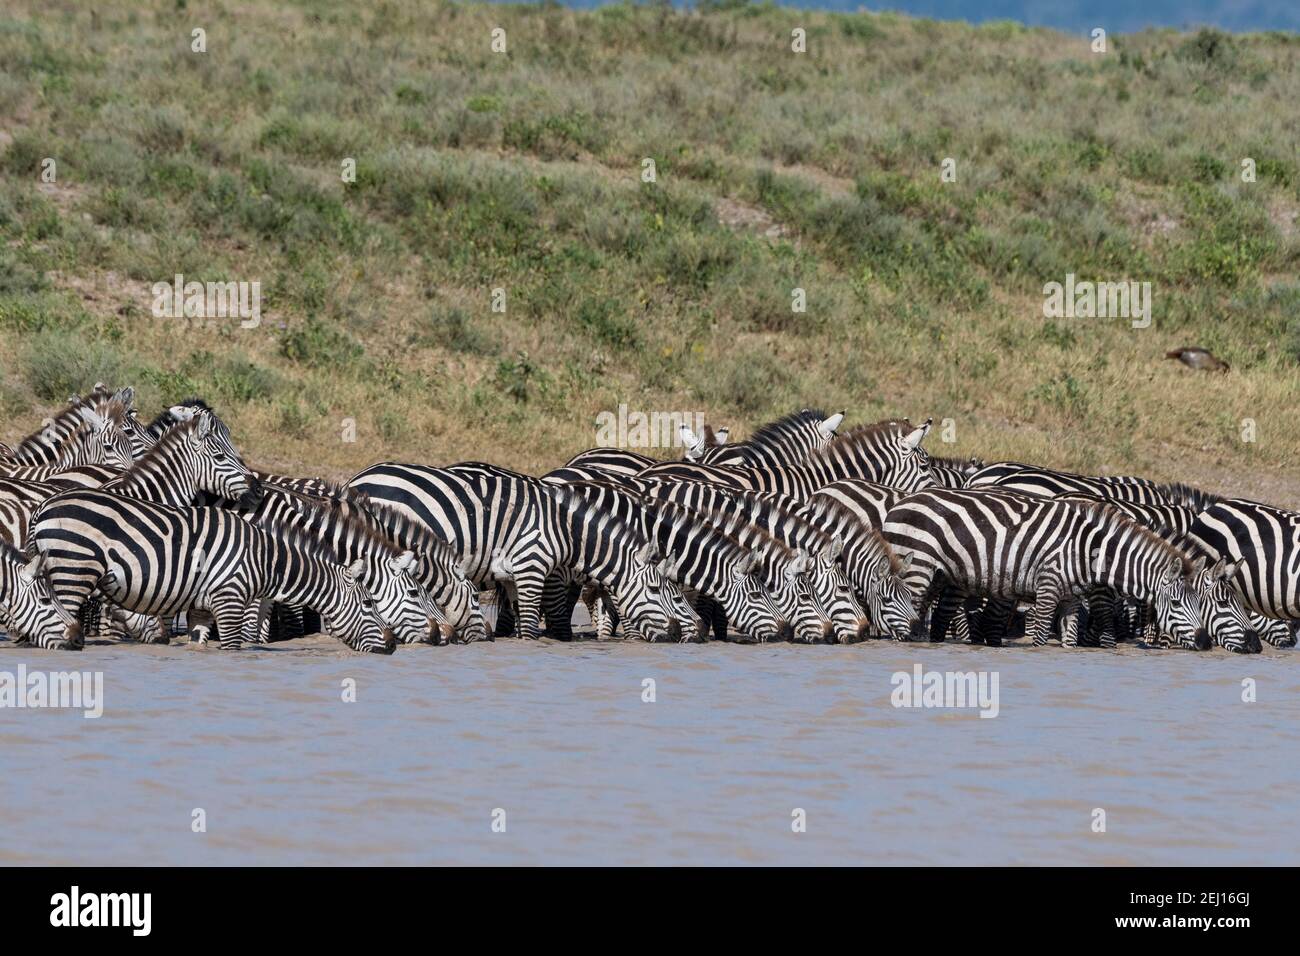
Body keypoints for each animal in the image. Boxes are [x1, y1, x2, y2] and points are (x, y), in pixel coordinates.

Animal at [26, 490, 396, 652]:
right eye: (369, 604)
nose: (392, 645)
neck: (265, 558)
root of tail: (45, 505)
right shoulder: (229, 599)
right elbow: (233, 647)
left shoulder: (202, 608)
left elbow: (199, 644)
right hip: (72, 570)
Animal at [347, 461, 687, 641]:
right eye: (656, 589)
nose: (674, 632)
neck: (564, 529)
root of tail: (359, 477)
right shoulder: (533, 566)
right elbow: (534, 624)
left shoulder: (512, 575)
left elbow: (519, 622)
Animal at [882, 489, 1210, 648]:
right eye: (1177, 603)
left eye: (1200, 602)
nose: (1205, 642)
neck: (1089, 549)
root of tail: (901, 503)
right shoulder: (1048, 587)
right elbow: (1040, 636)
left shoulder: (1071, 597)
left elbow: (1069, 641)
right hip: (917, 566)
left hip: (940, 574)